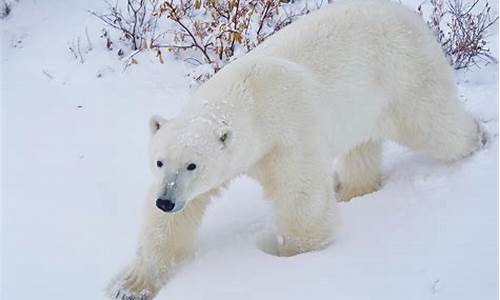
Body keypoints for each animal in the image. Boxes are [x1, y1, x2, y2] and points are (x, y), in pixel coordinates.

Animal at [106, 1, 484, 298]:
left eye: (192, 165)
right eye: (159, 162)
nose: (166, 200)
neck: (251, 96)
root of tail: (409, 15)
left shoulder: (287, 135)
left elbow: (302, 198)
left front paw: (290, 255)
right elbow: (176, 220)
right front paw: (130, 285)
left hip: (405, 75)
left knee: (434, 125)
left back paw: (479, 137)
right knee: (362, 147)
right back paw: (352, 190)